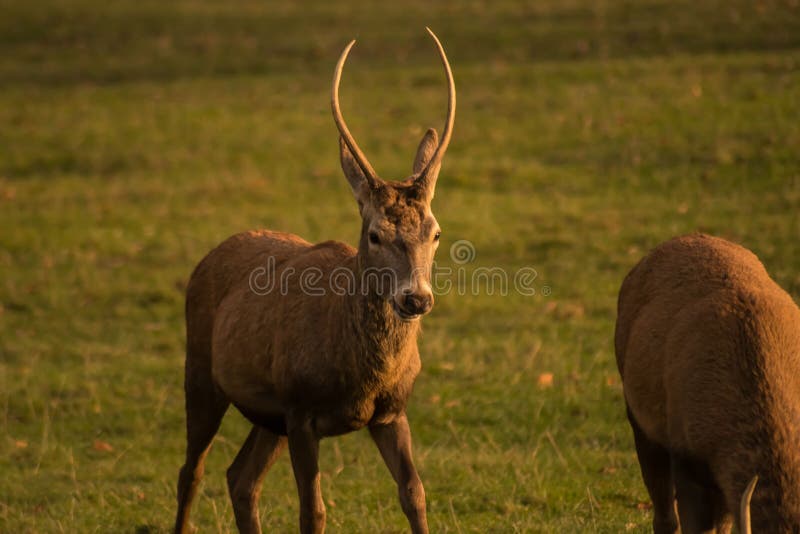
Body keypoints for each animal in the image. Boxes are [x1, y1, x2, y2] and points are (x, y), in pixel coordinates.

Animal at [172, 28, 454, 534]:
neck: (361, 376)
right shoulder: (301, 409)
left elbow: (415, 493)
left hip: (268, 415)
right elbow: (313, 510)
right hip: (201, 370)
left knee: (240, 477)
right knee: (193, 470)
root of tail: (211, 253)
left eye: (435, 231)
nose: (416, 299)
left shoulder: (391, 411)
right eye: (375, 233)